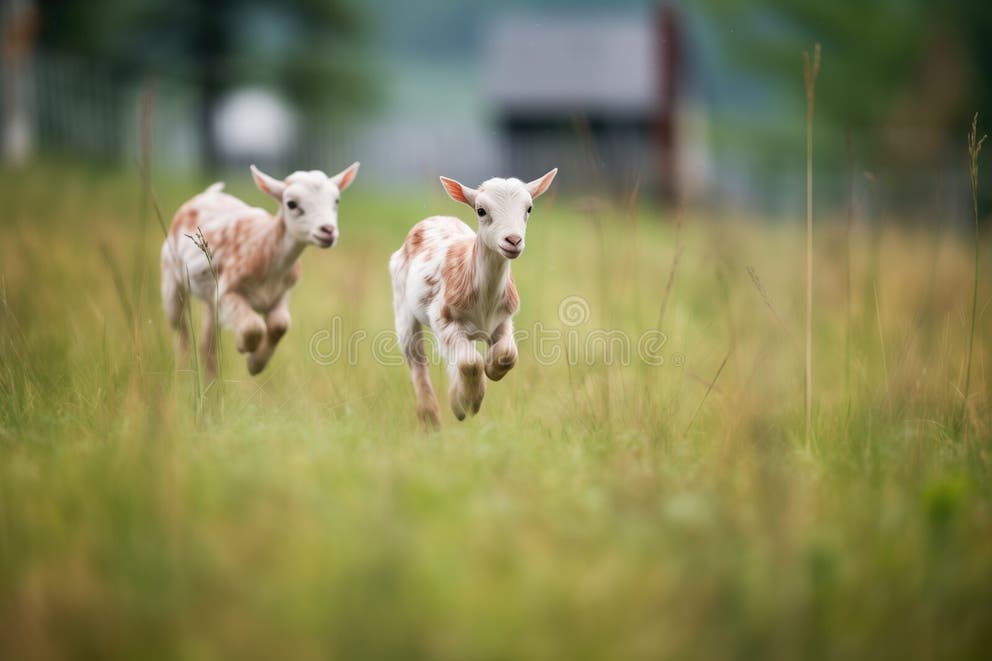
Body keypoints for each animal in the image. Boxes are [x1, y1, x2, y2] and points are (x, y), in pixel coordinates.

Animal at [161, 162, 359, 379]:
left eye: (336, 200)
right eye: (291, 204)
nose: (328, 230)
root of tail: (207, 194)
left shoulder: (282, 292)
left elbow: (280, 324)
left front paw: (256, 363)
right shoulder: (226, 290)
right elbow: (252, 326)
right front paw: (245, 349)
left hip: (210, 302)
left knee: (207, 344)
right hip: (170, 276)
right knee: (180, 330)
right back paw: (183, 375)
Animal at [389, 169, 558, 428]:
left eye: (529, 208)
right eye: (481, 210)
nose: (513, 240)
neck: (484, 304)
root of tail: (435, 219)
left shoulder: (504, 318)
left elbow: (507, 354)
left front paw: (490, 373)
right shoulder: (443, 318)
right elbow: (470, 362)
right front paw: (466, 404)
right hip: (403, 305)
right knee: (416, 357)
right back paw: (431, 419)